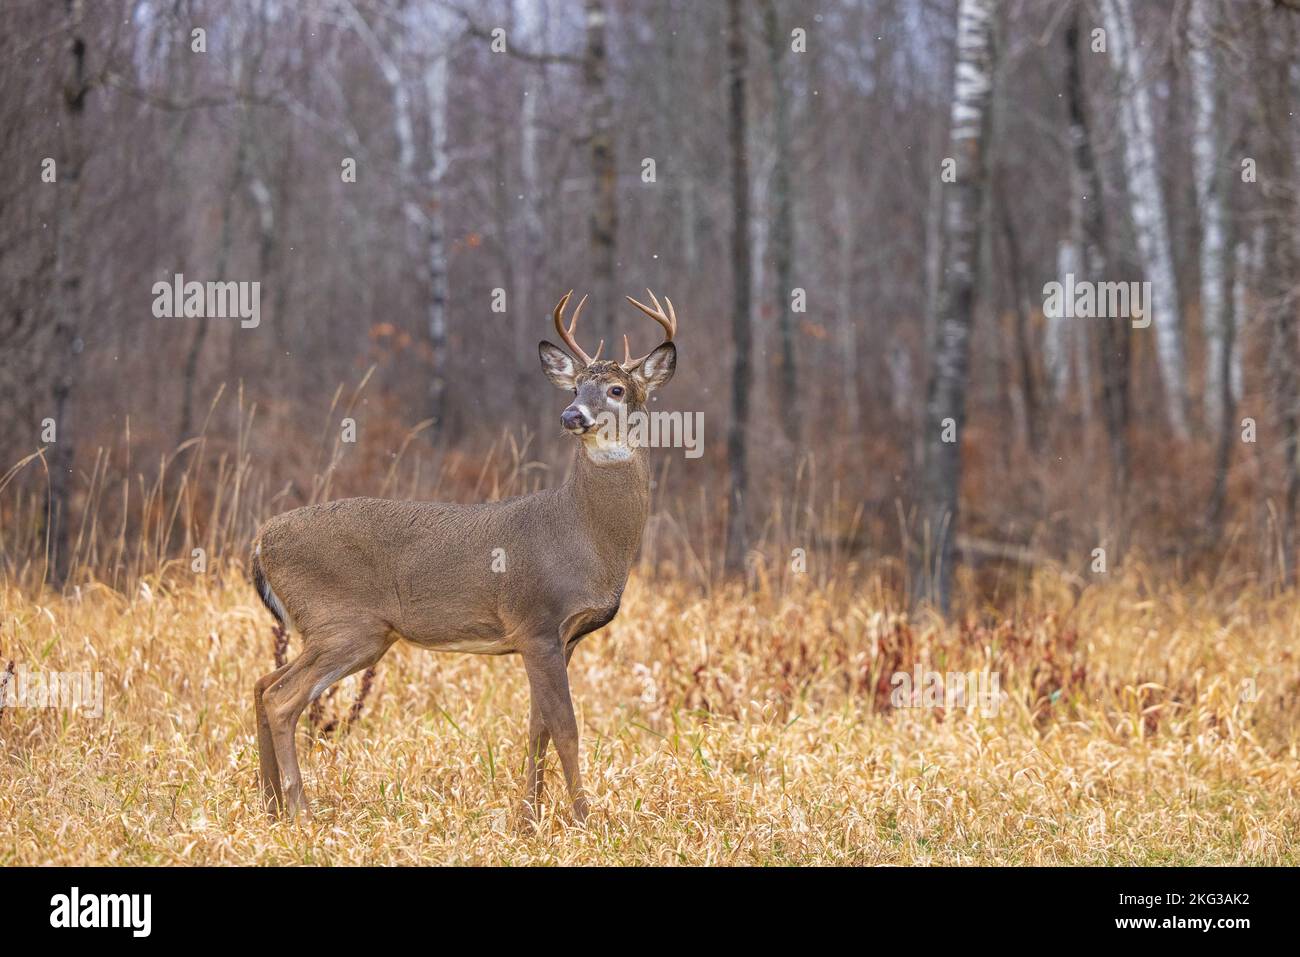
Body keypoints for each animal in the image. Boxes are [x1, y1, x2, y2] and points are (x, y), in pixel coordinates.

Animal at [249, 290, 678, 823]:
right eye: (576, 386)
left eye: (617, 389)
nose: (572, 416)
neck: (586, 537)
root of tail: (261, 541)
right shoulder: (536, 623)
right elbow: (565, 728)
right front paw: (583, 818)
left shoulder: (562, 638)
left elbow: (537, 727)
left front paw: (529, 816)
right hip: (345, 623)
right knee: (282, 698)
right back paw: (300, 812)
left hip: (333, 630)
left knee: (262, 683)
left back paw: (269, 806)